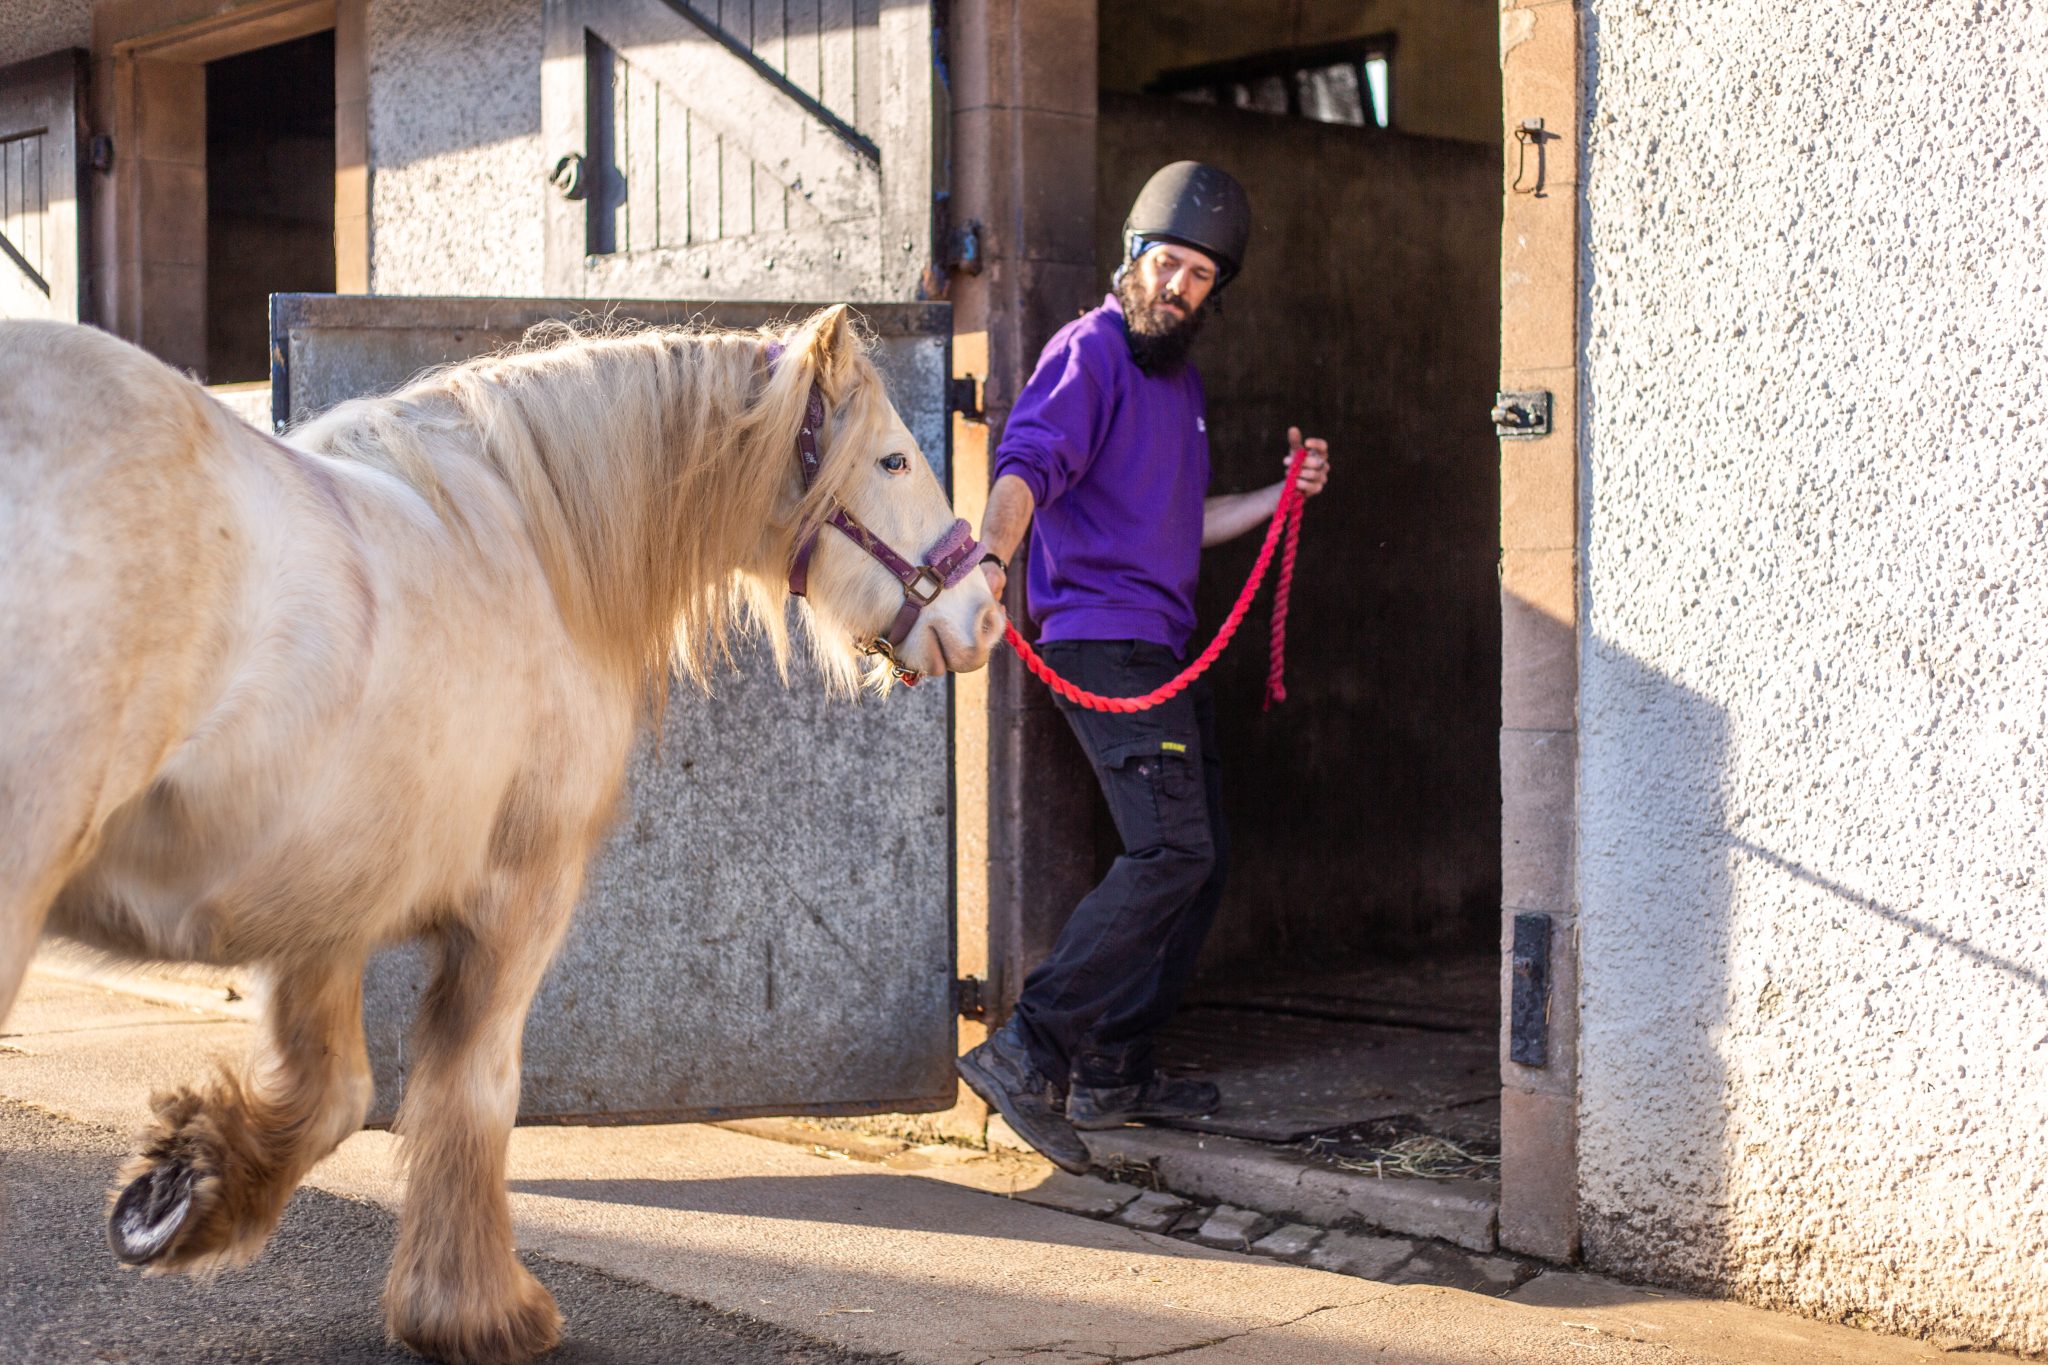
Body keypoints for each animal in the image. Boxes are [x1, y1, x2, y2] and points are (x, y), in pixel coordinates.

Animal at [0, 303, 1003, 1364]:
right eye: (893, 460)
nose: (984, 614)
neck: (534, 545)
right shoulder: (518, 900)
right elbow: (471, 1091)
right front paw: (479, 1311)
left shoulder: (324, 897)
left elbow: (338, 1091)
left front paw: (185, 1187)